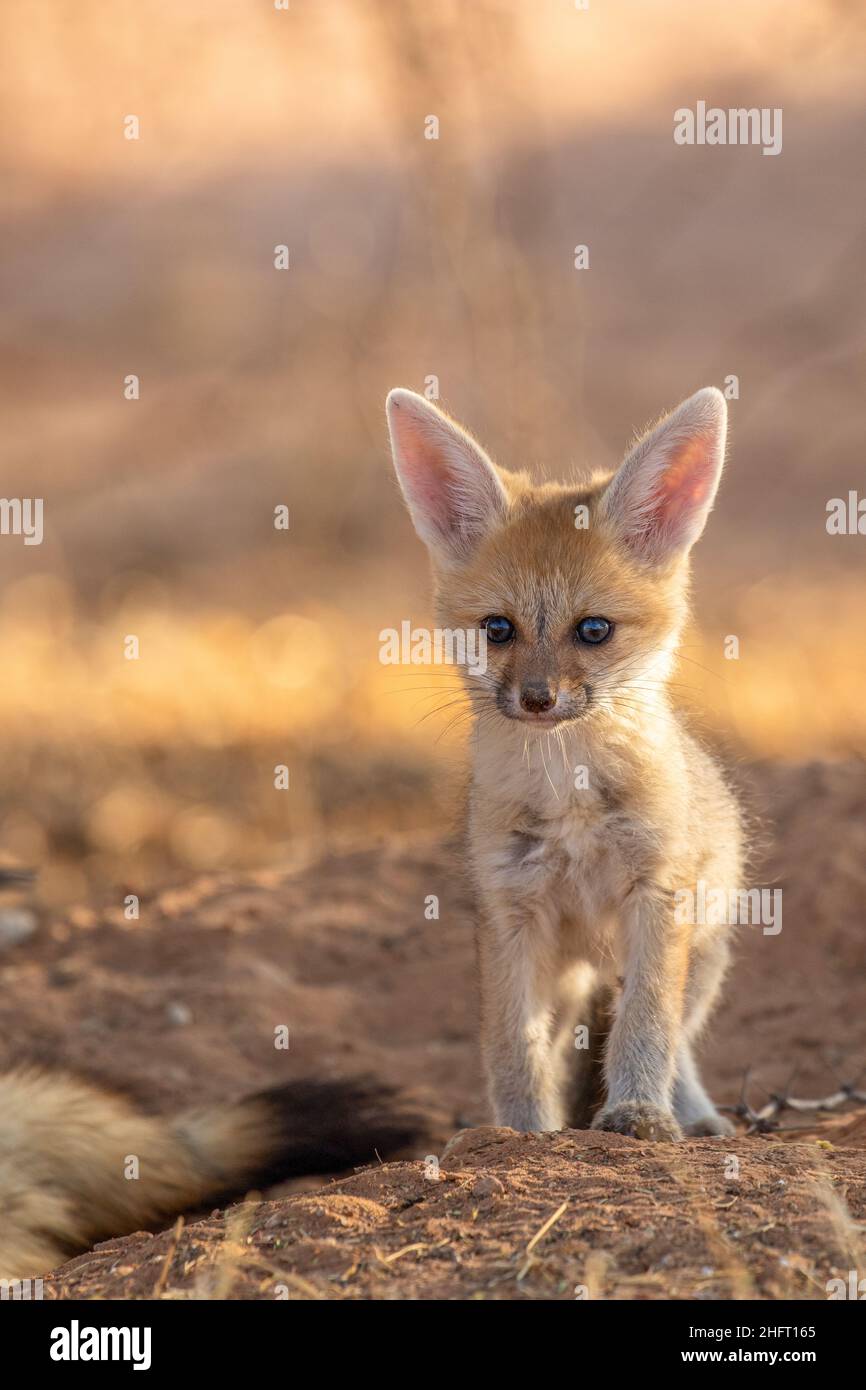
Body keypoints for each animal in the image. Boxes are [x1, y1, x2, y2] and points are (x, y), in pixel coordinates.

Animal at [387, 385, 742, 1143]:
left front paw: (638, 1113)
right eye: (498, 629)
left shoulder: (656, 897)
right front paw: (523, 1133)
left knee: (678, 1033)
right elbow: (512, 1048)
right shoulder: (510, 912)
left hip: (701, 957)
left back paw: (693, 1115)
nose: (538, 698)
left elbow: (646, 1026)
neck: (570, 797)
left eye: (593, 630)